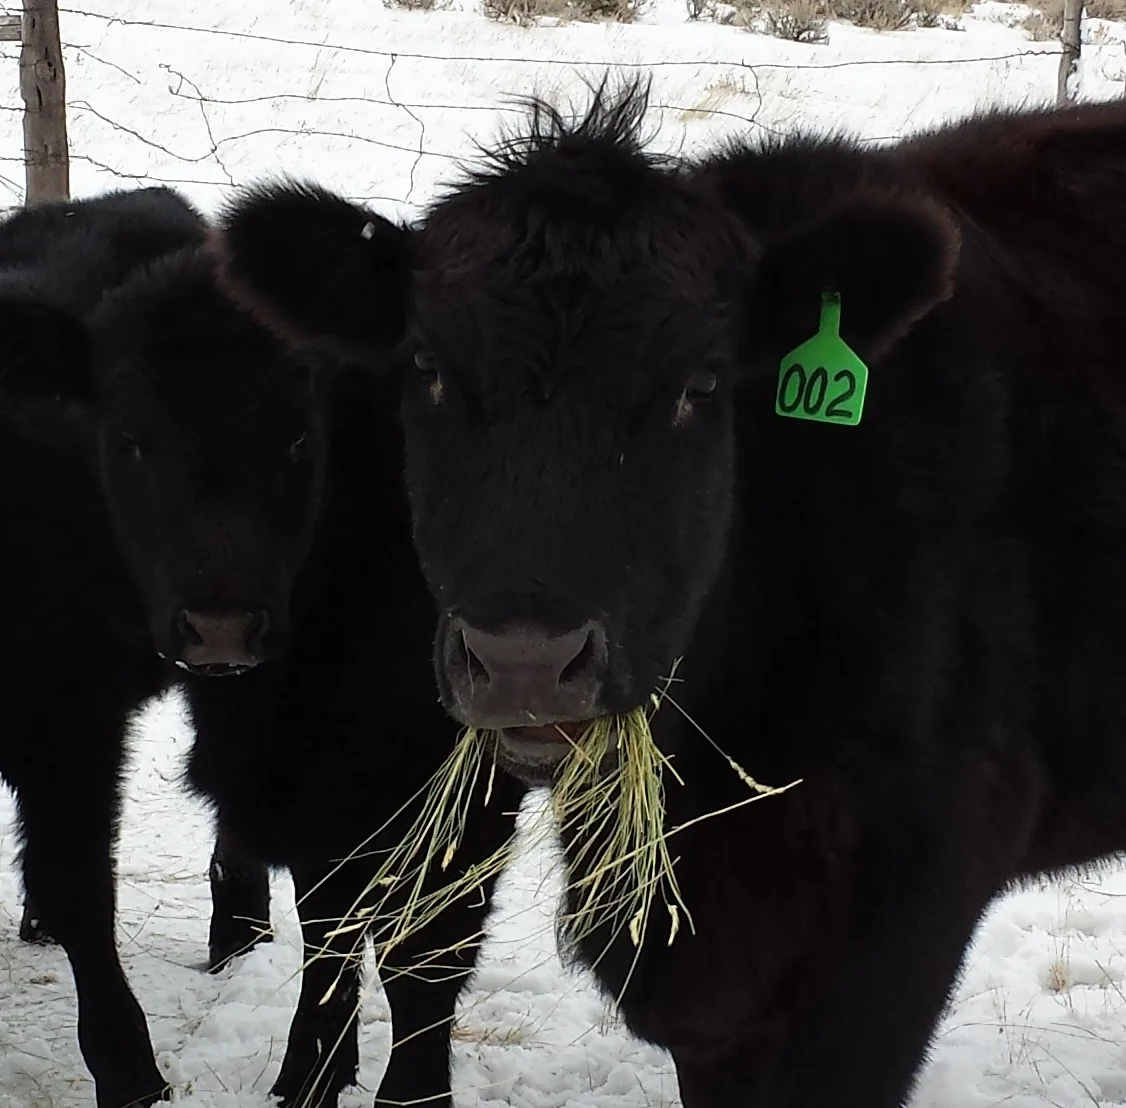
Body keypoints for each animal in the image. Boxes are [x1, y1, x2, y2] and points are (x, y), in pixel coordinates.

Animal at [1, 190, 521, 1108]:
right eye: (127, 438)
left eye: (300, 437)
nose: (221, 627)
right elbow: (334, 918)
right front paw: (310, 1074)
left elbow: (423, 947)